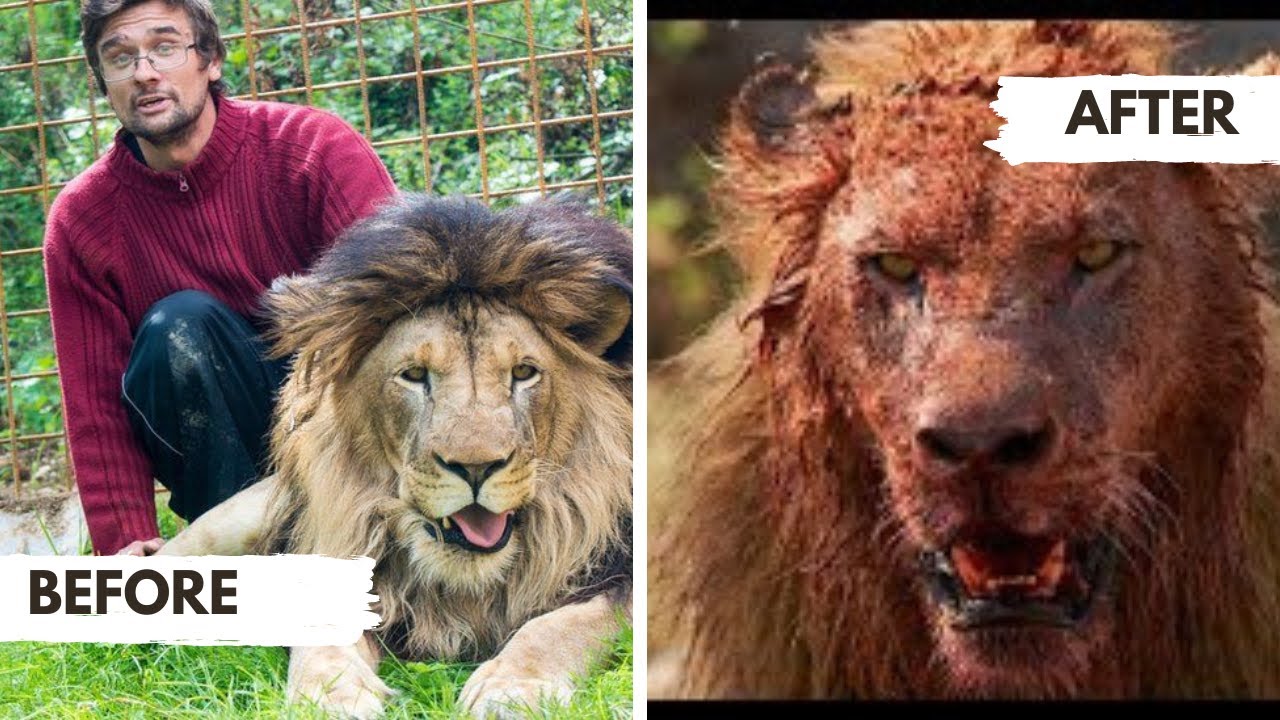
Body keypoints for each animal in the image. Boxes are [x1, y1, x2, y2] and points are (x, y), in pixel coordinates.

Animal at [160, 194, 633, 719]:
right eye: (414, 375)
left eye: (524, 372)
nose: (476, 468)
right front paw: (333, 696)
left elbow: (562, 624)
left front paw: (513, 687)